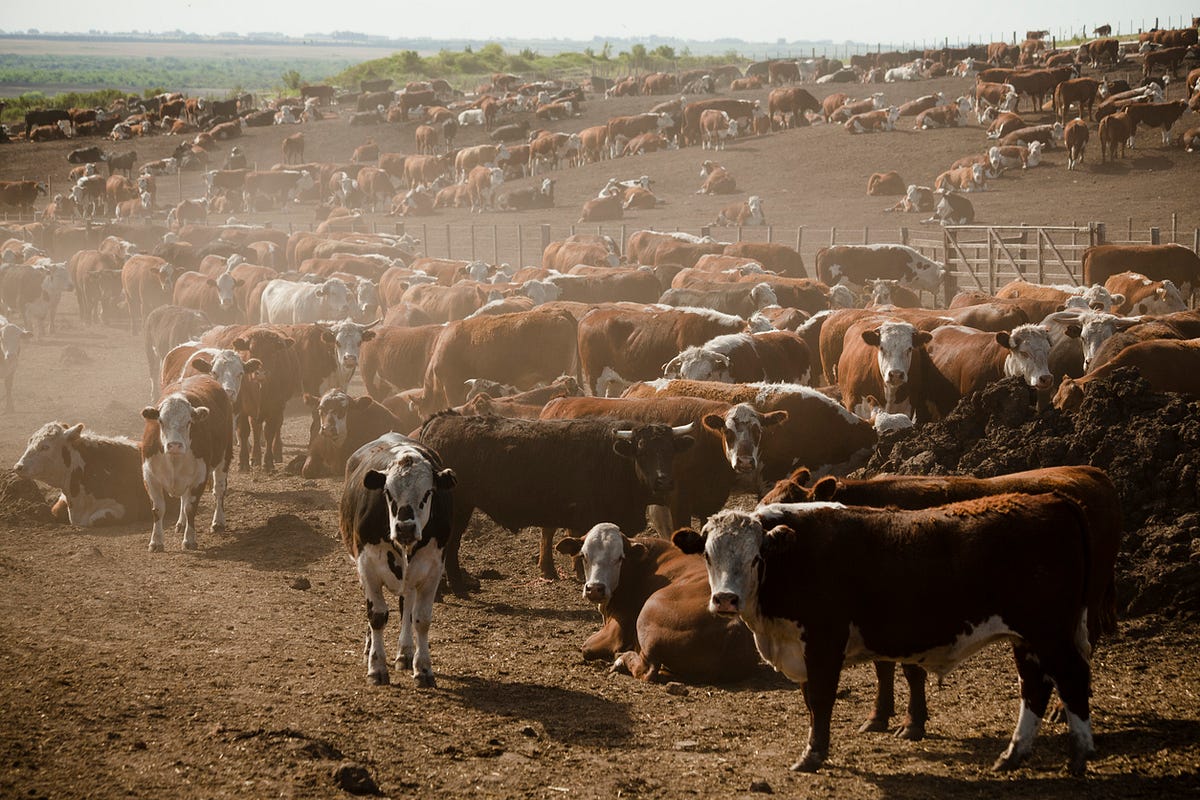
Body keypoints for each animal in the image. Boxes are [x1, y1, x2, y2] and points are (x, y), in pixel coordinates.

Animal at [140, 372, 234, 551]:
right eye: (161, 421)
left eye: (189, 422)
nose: (174, 445)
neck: (173, 460)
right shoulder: (150, 476)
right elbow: (158, 509)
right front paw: (156, 542)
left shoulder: (199, 478)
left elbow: (191, 508)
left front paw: (189, 540)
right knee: (183, 498)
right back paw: (181, 523)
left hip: (225, 456)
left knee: (219, 490)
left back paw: (218, 521)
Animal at [340, 433, 457, 686]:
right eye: (388, 493)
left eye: (428, 493)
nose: (405, 528)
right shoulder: (367, 566)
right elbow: (377, 615)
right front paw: (376, 667)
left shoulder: (433, 569)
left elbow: (421, 618)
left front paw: (422, 669)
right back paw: (369, 648)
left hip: (411, 577)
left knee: (407, 608)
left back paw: (405, 653)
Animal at [555, 524, 760, 682]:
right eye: (584, 555)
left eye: (619, 558)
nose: (595, 588)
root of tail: (732, 624)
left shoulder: (616, 631)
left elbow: (587, 648)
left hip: (648, 613)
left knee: (646, 669)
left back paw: (621, 660)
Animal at [675, 494, 1096, 775]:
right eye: (708, 555)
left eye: (756, 557)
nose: (725, 599)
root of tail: (1052, 499)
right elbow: (811, 699)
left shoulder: (824, 644)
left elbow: (821, 700)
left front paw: (812, 755)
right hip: (1028, 639)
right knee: (1034, 687)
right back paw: (1012, 755)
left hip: (1050, 632)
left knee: (1072, 678)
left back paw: (1079, 755)